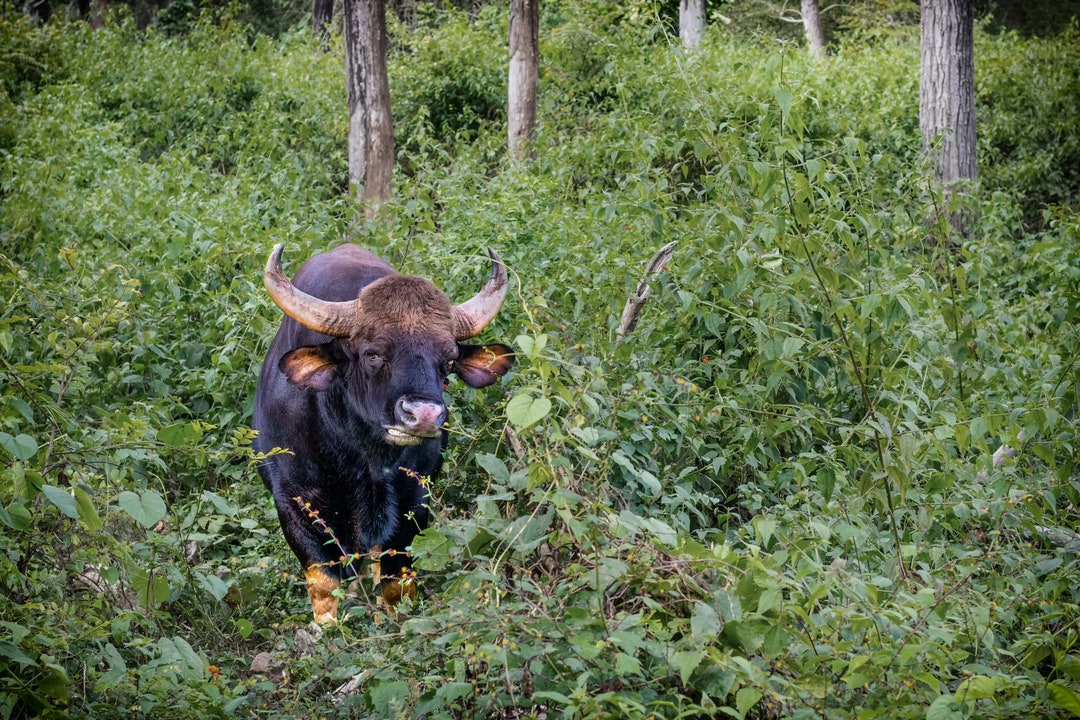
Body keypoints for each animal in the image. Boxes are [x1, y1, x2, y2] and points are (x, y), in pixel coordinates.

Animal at [253, 243, 514, 623]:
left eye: (448, 360)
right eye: (372, 354)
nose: (423, 415)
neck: (361, 458)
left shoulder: (414, 499)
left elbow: (395, 581)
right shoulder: (292, 500)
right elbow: (324, 582)